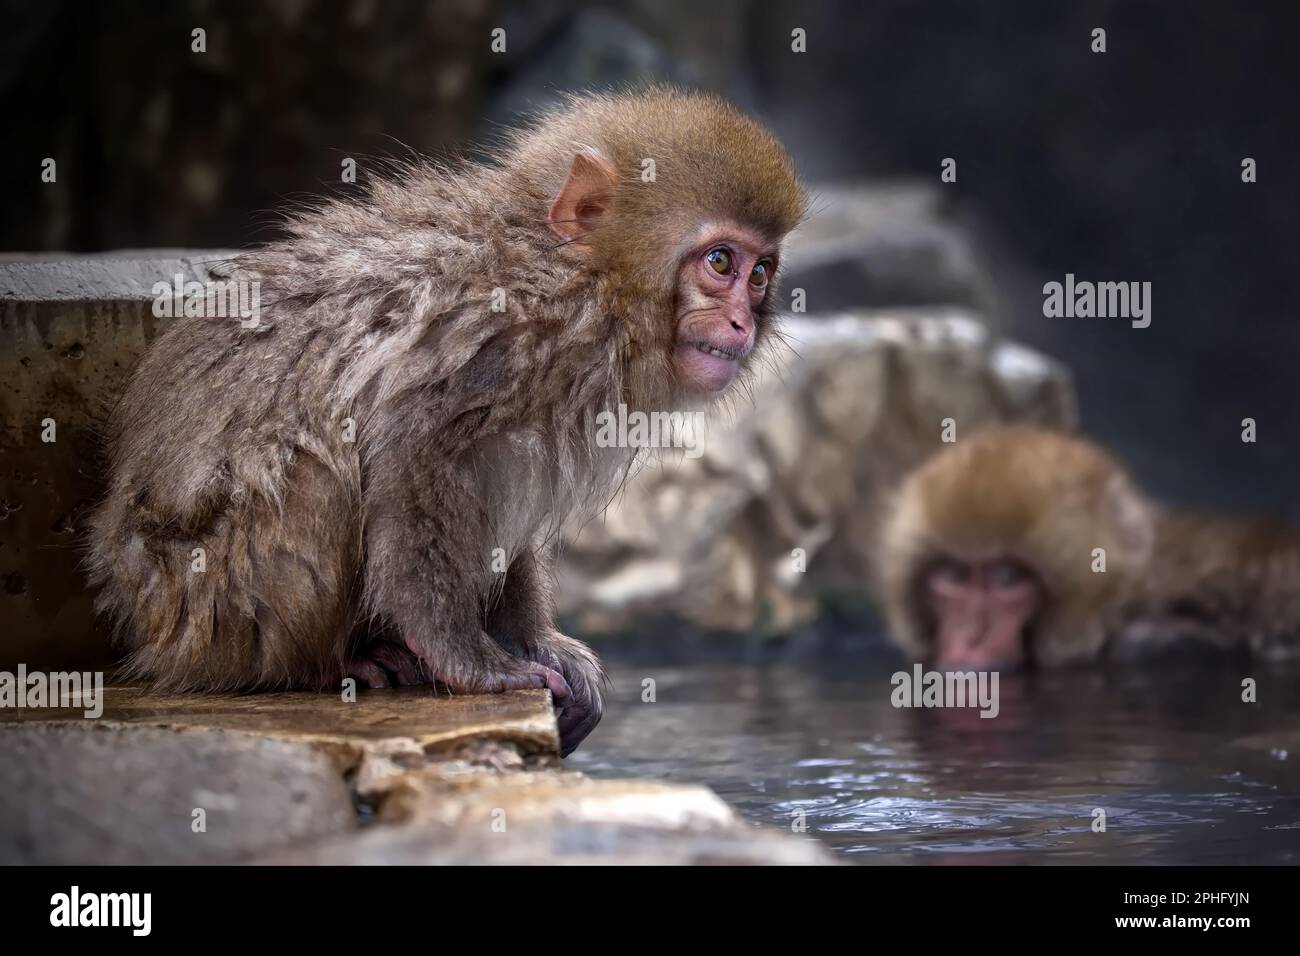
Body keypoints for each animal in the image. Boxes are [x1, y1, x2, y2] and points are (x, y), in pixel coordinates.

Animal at [85, 88, 807, 755]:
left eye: (760, 273)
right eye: (721, 263)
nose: (741, 322)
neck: (572, 280)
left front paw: (535, 639)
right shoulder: (483, 342)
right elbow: (411, 463)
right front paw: (470, 659)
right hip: (212, 598)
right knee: (316, 469)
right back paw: (322, 666)